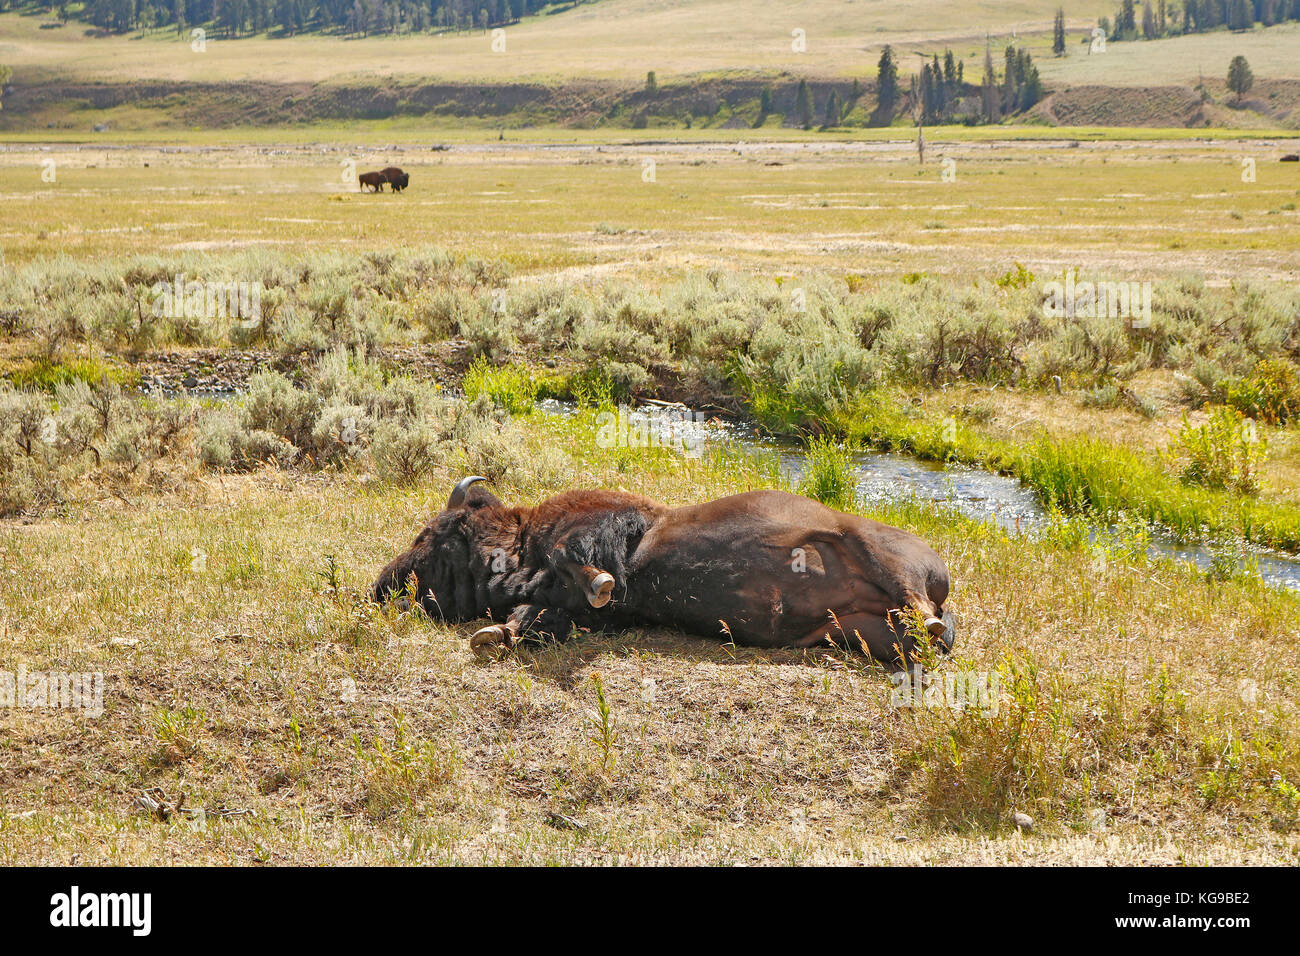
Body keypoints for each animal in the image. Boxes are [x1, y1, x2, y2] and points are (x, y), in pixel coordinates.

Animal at [372, 477, 955, 666]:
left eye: (433, 536)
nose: (382, 585)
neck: (521, 541)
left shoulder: (595, 531)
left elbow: (577, 561)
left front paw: (601, 583)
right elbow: (535, 617)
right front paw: (493, 634)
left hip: (879, 552)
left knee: (916, 599)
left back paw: (928, 619)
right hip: (857, 631)